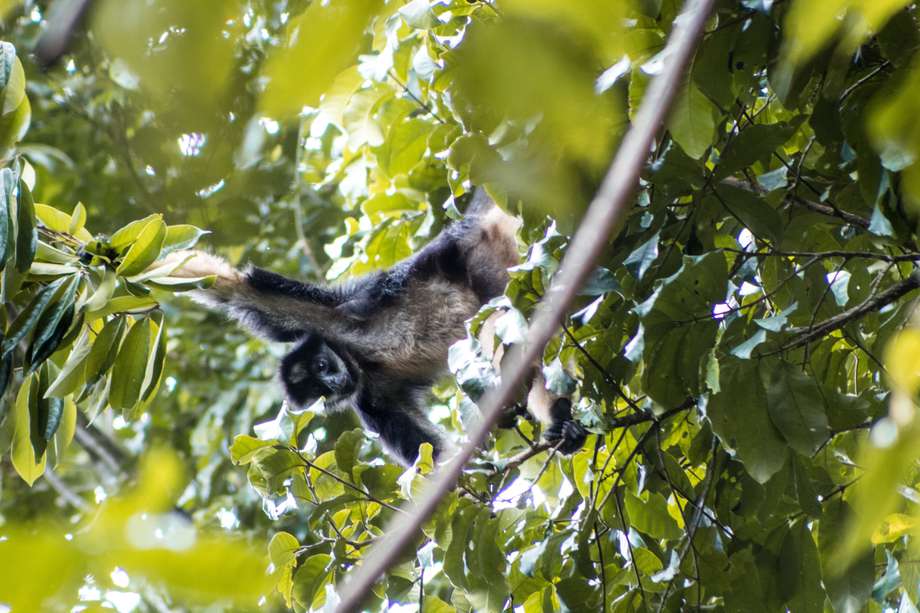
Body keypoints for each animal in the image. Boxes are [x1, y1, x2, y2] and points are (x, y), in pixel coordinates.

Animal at [168, 190, 587, 464]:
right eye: (318, 390)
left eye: (322, 367)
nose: (335, 381)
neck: (362, 358)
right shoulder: (371, 399)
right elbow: (434, 458)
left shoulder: (332, 318)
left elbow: (237, 288)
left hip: (476, 253)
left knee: (498, 318)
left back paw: (553, 415)